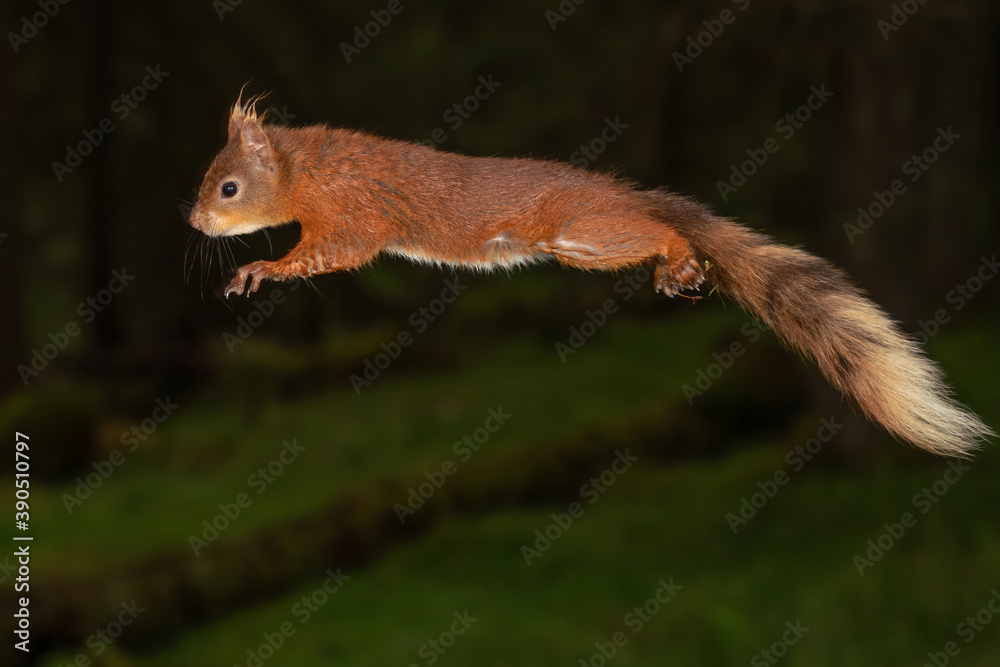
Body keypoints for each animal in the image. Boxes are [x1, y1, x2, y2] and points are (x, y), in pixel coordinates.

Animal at [189, 94, 992, 458]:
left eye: (227, 188)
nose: (194, 224)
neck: (305, 168)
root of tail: (625, 194)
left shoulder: (353, 217)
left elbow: (326, 253)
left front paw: (257, 269)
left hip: (582, 231)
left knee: (663, 232)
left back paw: (678, 256)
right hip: (583, 245)